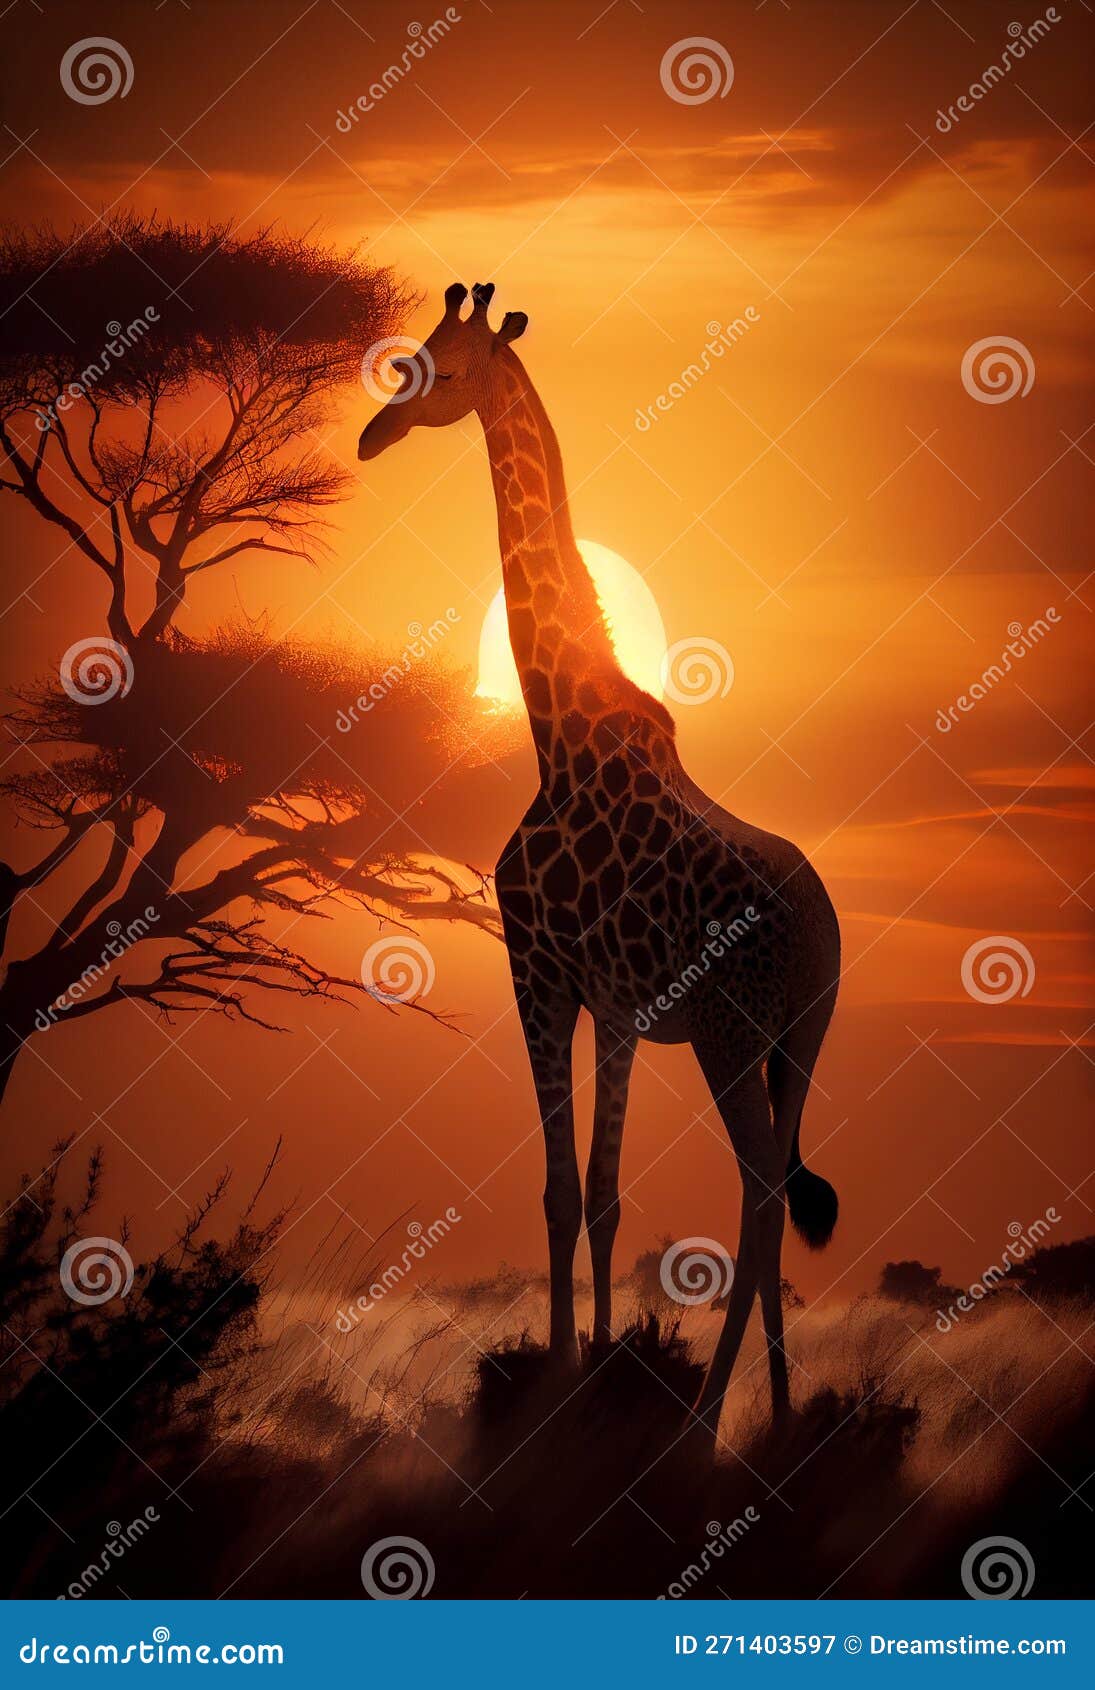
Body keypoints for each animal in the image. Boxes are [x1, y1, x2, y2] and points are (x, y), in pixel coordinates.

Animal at [358, 282, 841, 1449]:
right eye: (409, 357)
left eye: (438, 368)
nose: (372, 435)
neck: (556, 730)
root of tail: (827, 940)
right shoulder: (612, 1005)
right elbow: (606, 1192)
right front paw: (598, 1367)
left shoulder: (541, 974)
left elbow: (562, 1190)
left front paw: (569, 1381)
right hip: (800, 1042)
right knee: (775, 1193)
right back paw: (780, 1414)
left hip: (728, 1038)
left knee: (761, 1195)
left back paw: (707, 1422)